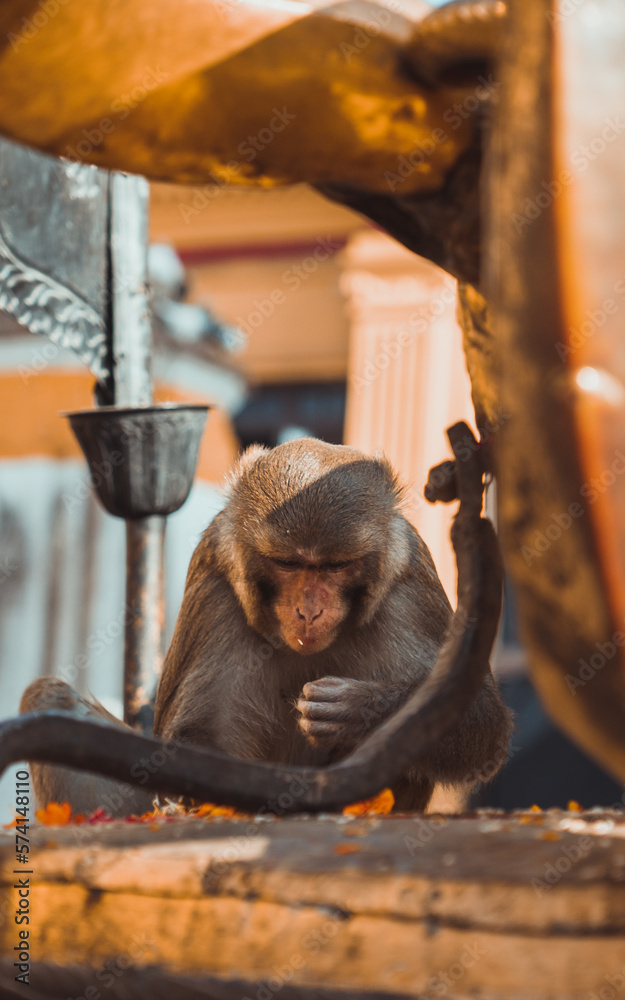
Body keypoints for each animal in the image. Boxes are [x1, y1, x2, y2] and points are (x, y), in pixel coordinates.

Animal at [20, 437, 511, 815]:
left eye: (336, 566)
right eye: (288, 563)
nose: (309, 611)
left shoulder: (409, 586)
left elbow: (476, 715)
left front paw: (359, 710)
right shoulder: (217, 587)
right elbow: (201, 741)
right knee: (47, 697)